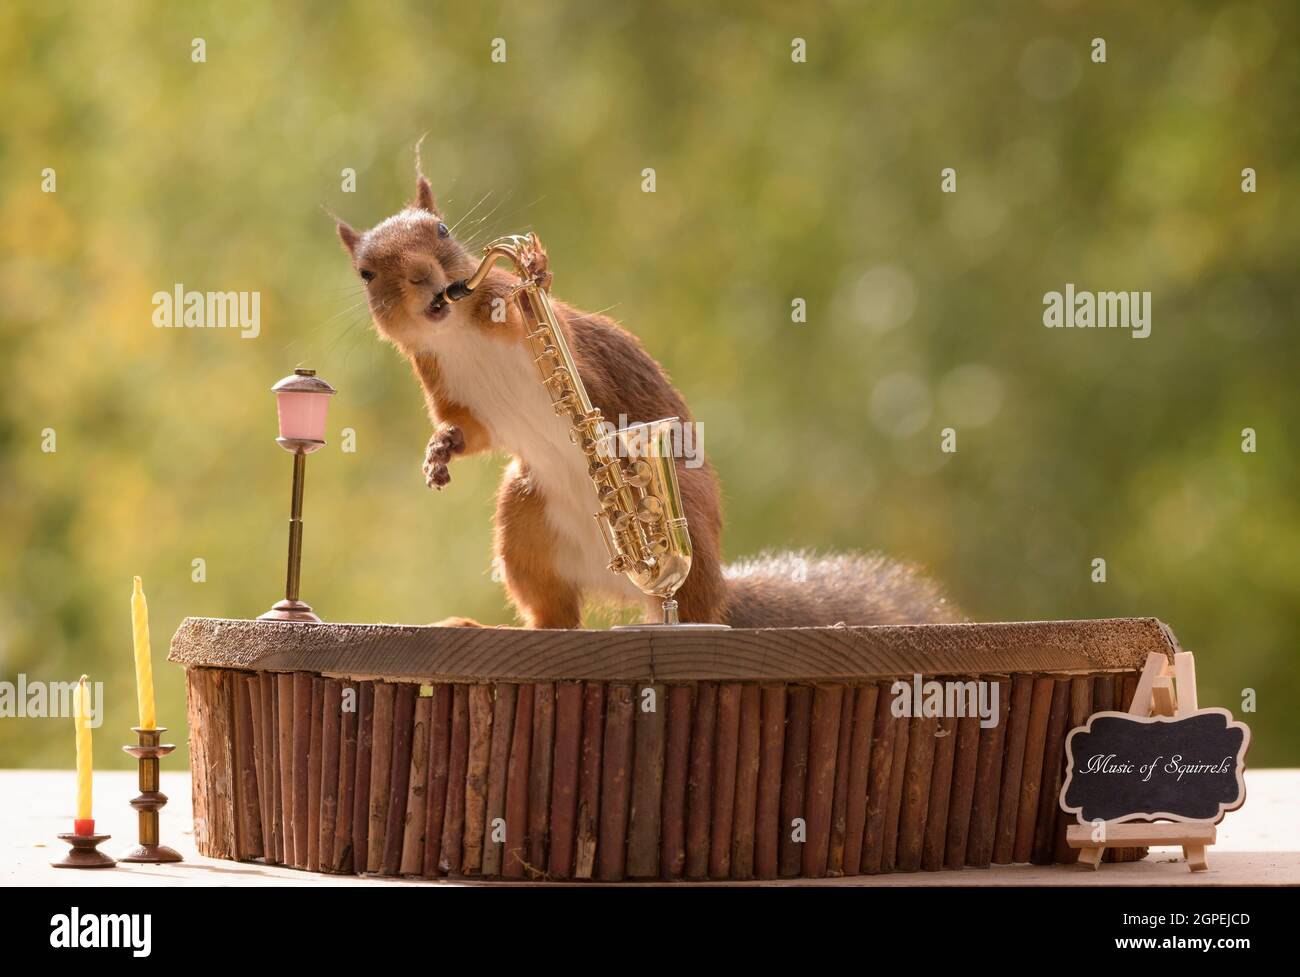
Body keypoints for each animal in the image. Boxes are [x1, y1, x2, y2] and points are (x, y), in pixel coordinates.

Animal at [335, 169, 961, 629]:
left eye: (442, 231)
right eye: (366, 273)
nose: (427, 278)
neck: (457, 333)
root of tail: (627, 582)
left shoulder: (562, 341)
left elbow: (569, 355)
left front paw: (539, 269)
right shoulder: (446, 388)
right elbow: (466, 430)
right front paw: (438, 453)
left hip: (686, 519)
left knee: (697, 609)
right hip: (523, 524)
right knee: (555, 617)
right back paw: (473, 625)